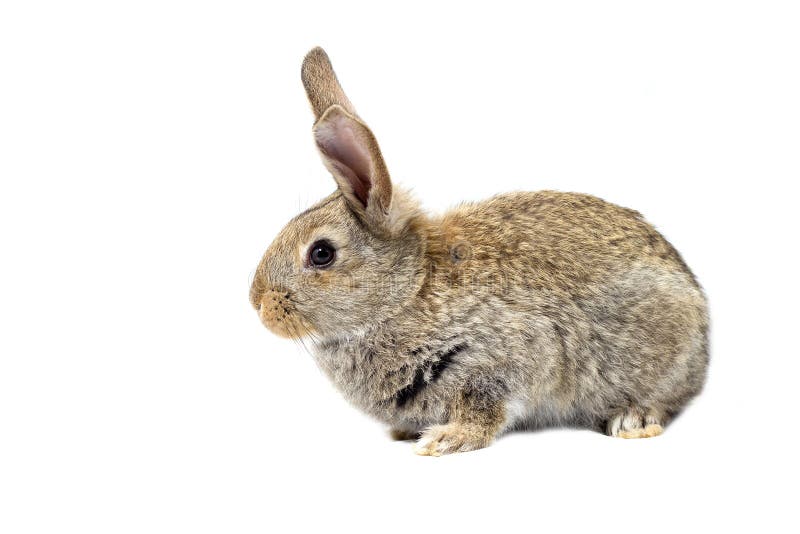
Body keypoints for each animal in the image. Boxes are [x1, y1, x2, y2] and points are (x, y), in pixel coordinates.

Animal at [249, 47, 709, 456]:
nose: (257, 302)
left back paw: (634, 419)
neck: (408, 291)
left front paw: (446, 440)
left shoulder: (505, 358)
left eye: (321, 254)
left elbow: (486, 407)